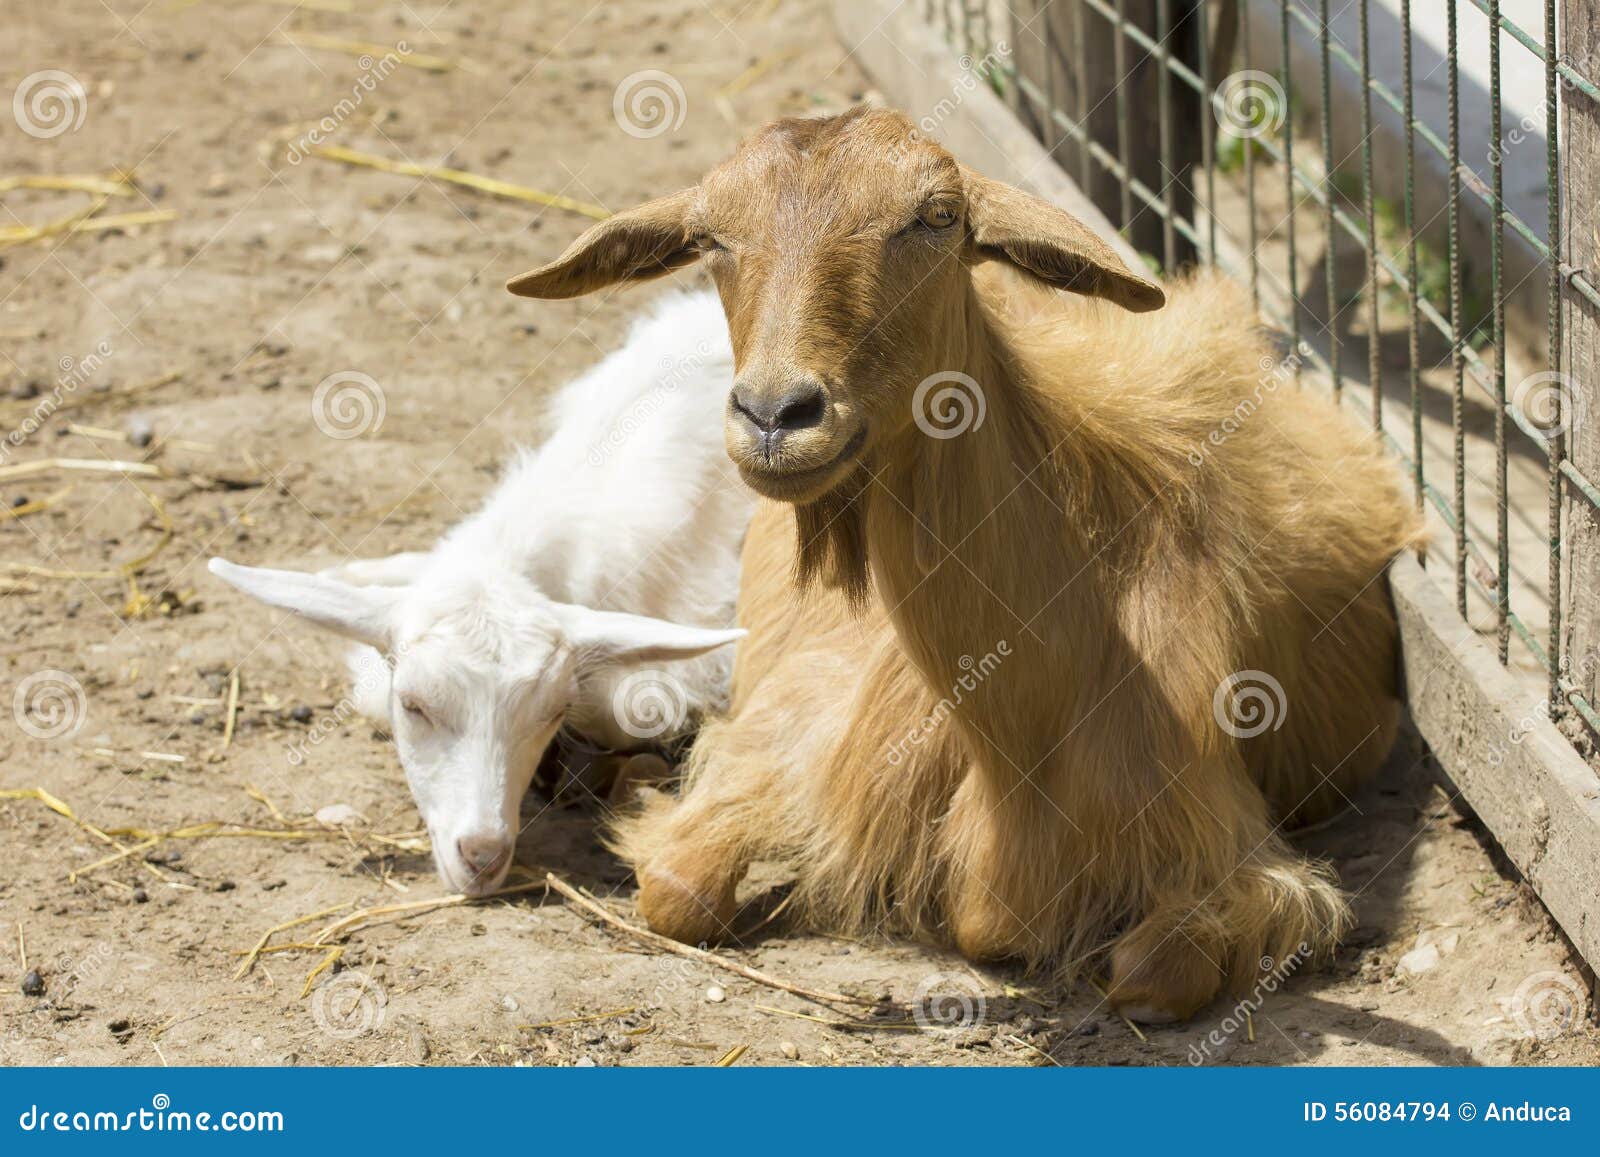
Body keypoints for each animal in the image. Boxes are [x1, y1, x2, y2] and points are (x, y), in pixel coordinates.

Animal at [505, 108, 1425, 1022]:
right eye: (707, 235)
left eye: (937, 216)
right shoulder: (789, 733)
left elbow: (1148, 970)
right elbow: (676, 889)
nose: (776, 414)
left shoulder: (1235, 854)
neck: (1020, 743)